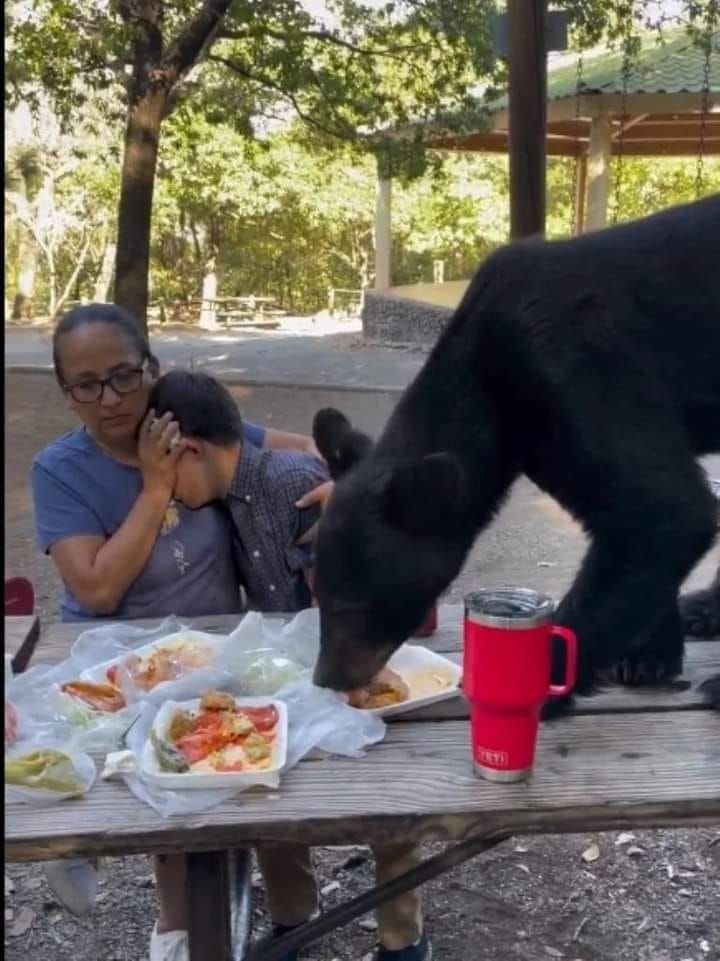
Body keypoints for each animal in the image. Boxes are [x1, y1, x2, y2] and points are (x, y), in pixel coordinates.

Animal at [310, 195, 720, 713]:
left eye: (352, 606)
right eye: (317, 592)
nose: (327, 678)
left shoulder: (577, 364)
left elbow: (663, 511)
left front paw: (542, 687)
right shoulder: (545, 438)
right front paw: (649, 656)